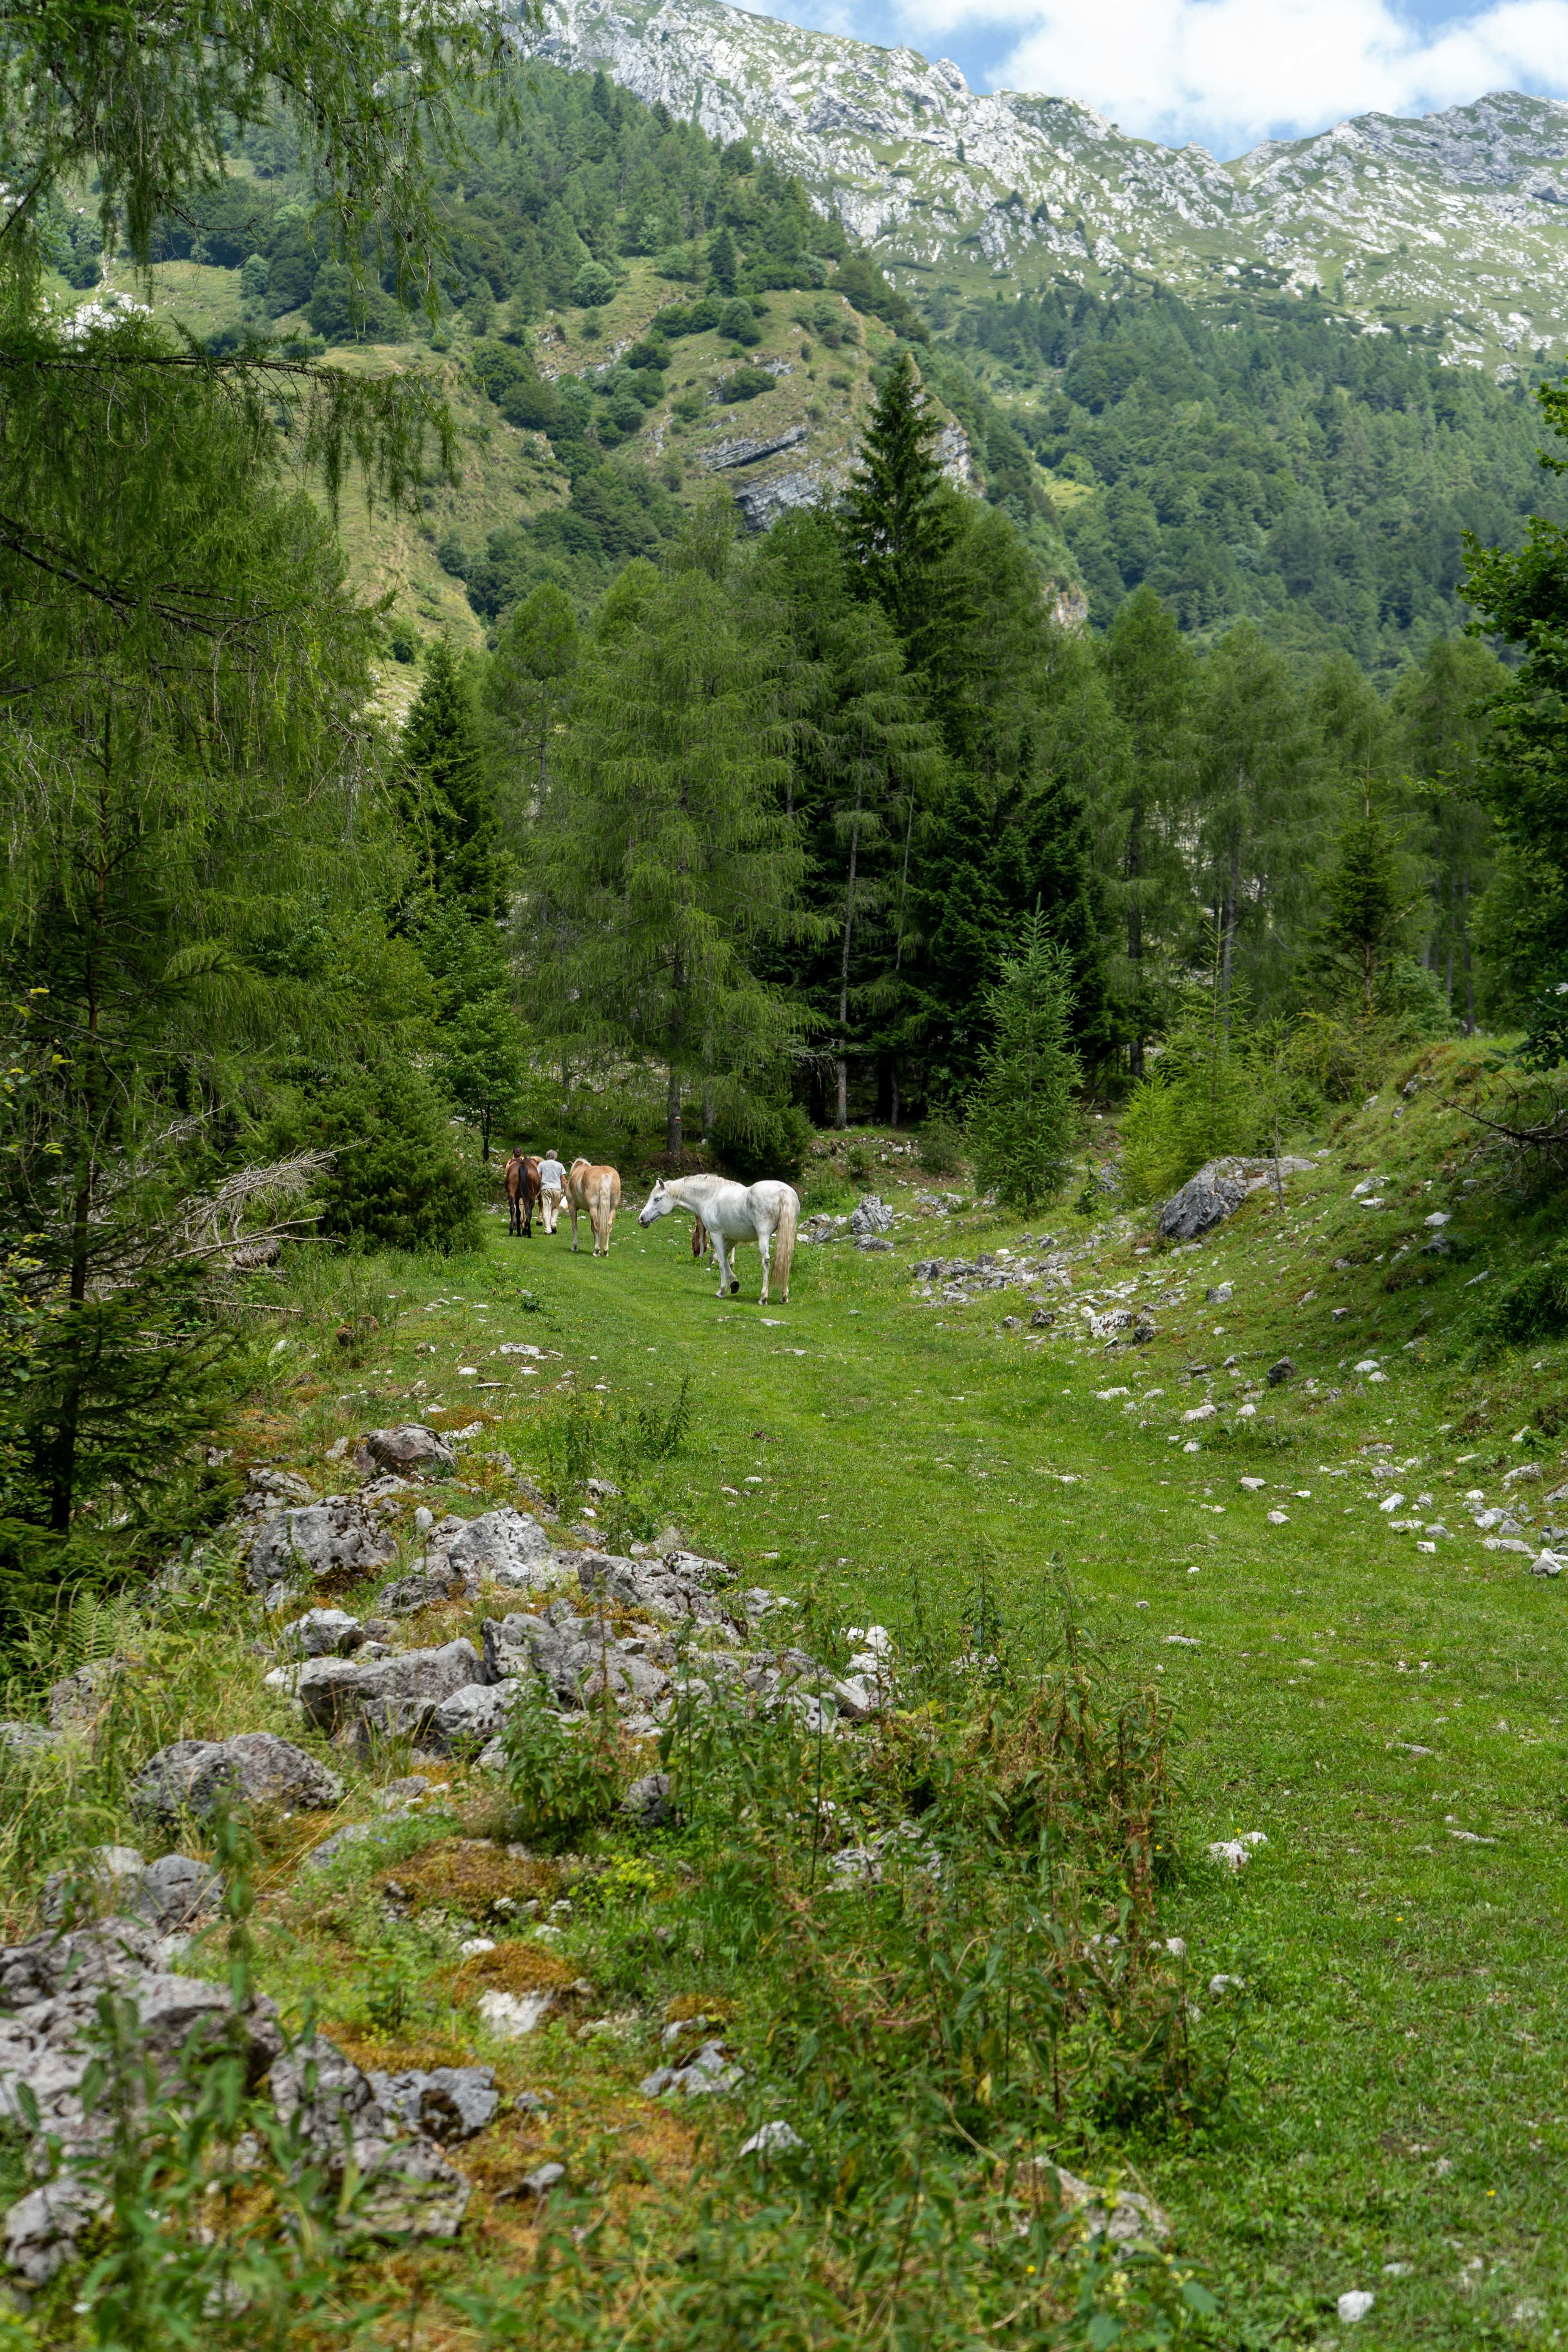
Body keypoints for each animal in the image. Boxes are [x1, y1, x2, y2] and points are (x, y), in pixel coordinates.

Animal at [504, 1150, 540, 1239]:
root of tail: (522, 1166)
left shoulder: (517, 1198)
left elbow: (518, 1213)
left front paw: (519, 1231)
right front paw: (524, 1230)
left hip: (512, 1195)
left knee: (513, 1210)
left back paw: (512, 1231)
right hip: (532, 1198)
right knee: (529, 1213)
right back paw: (529, 1233)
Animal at [566, 1158, 622, 1256]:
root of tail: (606, 1174)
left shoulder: (572, 1206)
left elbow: (575, 1226)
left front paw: (575, 1247)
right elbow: (593, 1229)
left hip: (593, 1208)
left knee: (597, 1225)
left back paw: (596, 1251)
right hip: (612, 1209)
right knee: (608, 1226)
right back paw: (605, 1251)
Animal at [638, 1172, 799, 1306]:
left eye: (657, 1199)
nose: (641, 1219)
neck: (710, 1196)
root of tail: (782, 1190)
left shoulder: (716, 1235)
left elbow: (721, 1262)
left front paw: (722, 1291)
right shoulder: (731, 1239)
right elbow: (726, 1259)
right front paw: (734, 1283)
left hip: (764, 1236)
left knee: (765, 1261)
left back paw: (763, 1298)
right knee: (787, 1260)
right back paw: (784, 1297)